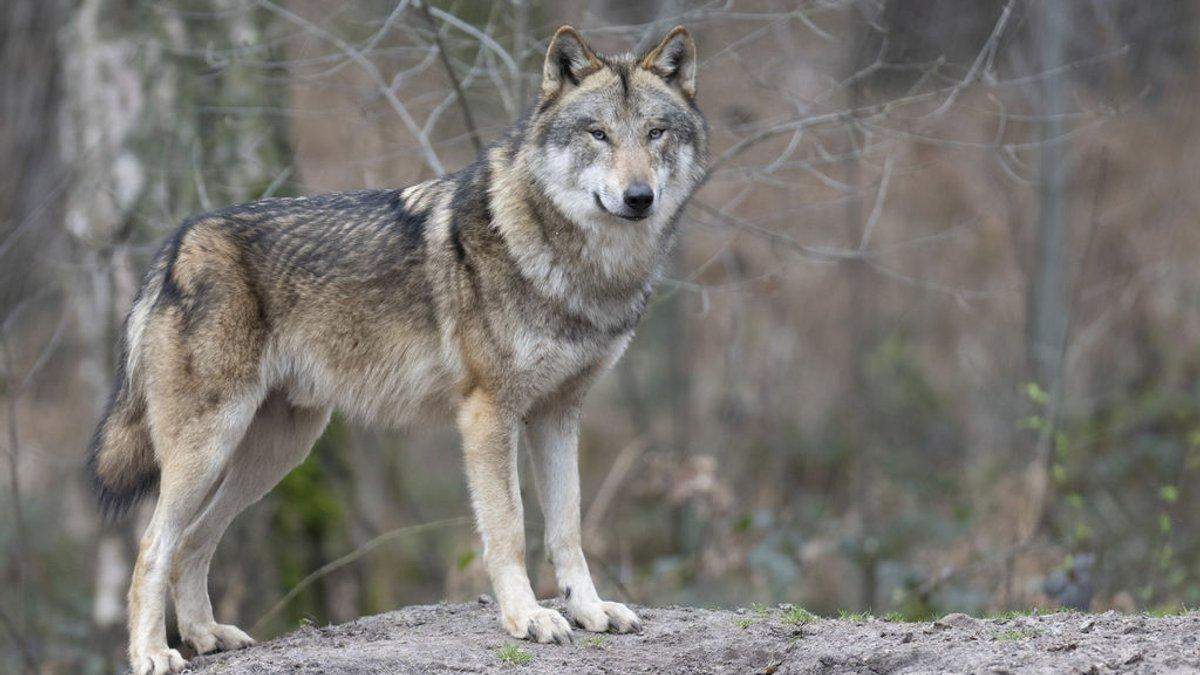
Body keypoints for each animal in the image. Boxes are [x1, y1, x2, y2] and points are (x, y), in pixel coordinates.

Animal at [86, 25, 707, 674]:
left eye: (655, 133)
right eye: (598, 133)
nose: (639, 197)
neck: (579, 268)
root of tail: (176, 245)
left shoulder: (558, 415)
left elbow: (567, 528)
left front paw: (589, 610)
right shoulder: (489, 414)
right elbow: (510, 529)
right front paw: (527, 618)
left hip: (276, 453)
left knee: (194, 541)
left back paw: (208, 635)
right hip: (211, 447)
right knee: (153, 546)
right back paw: (152, 653)